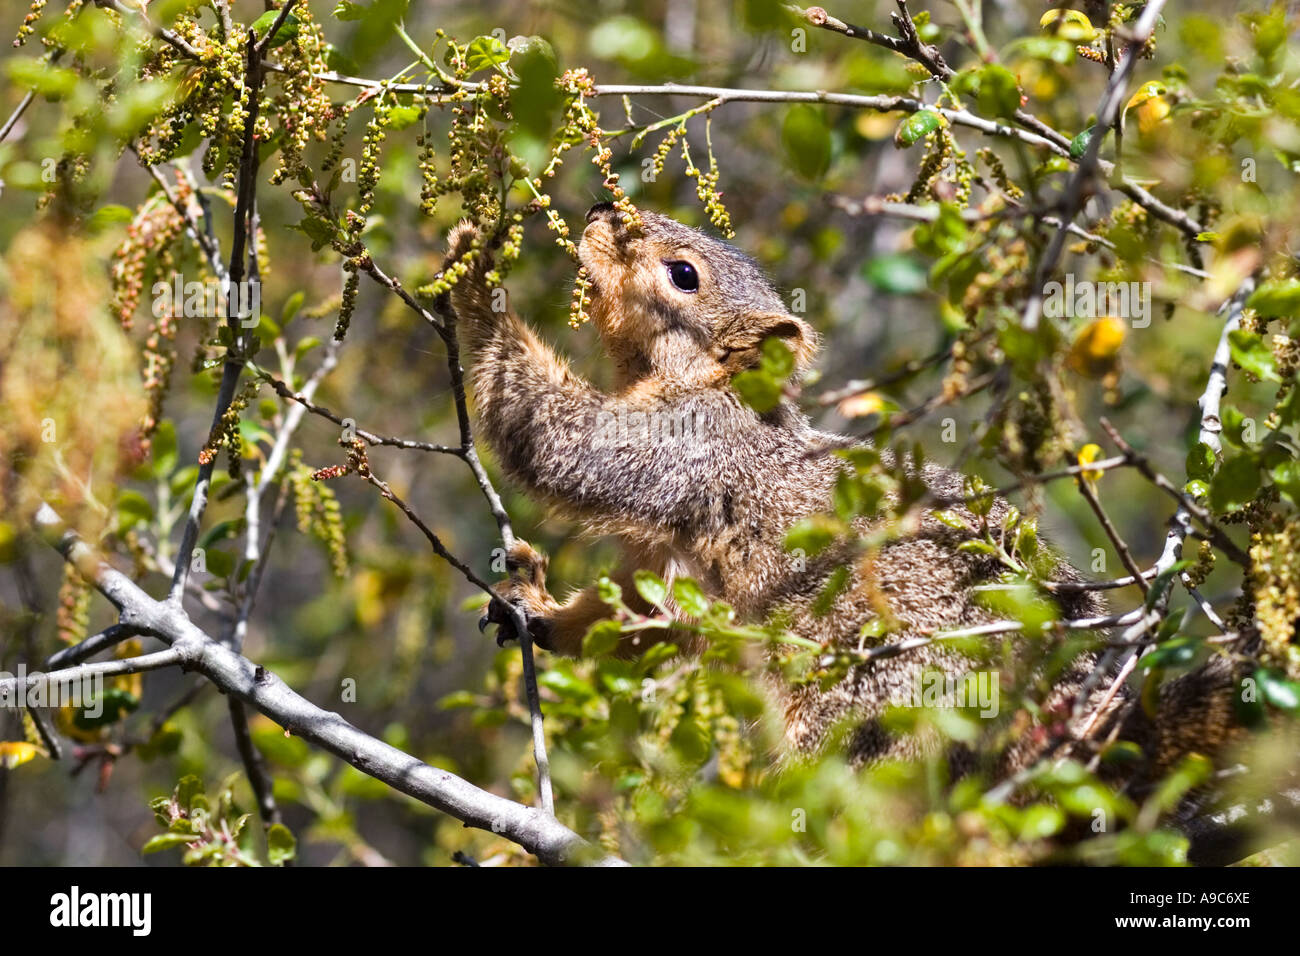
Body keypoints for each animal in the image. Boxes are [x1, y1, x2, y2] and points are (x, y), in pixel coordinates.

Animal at [443, 203, 1257, 796]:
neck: (710, 388)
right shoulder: (660, 553)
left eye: (683, 275)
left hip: (881, 702)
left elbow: (555, 437)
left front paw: (476, 275)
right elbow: (629, 620)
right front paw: (538, 608)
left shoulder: (686, 448)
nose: (601, 210)